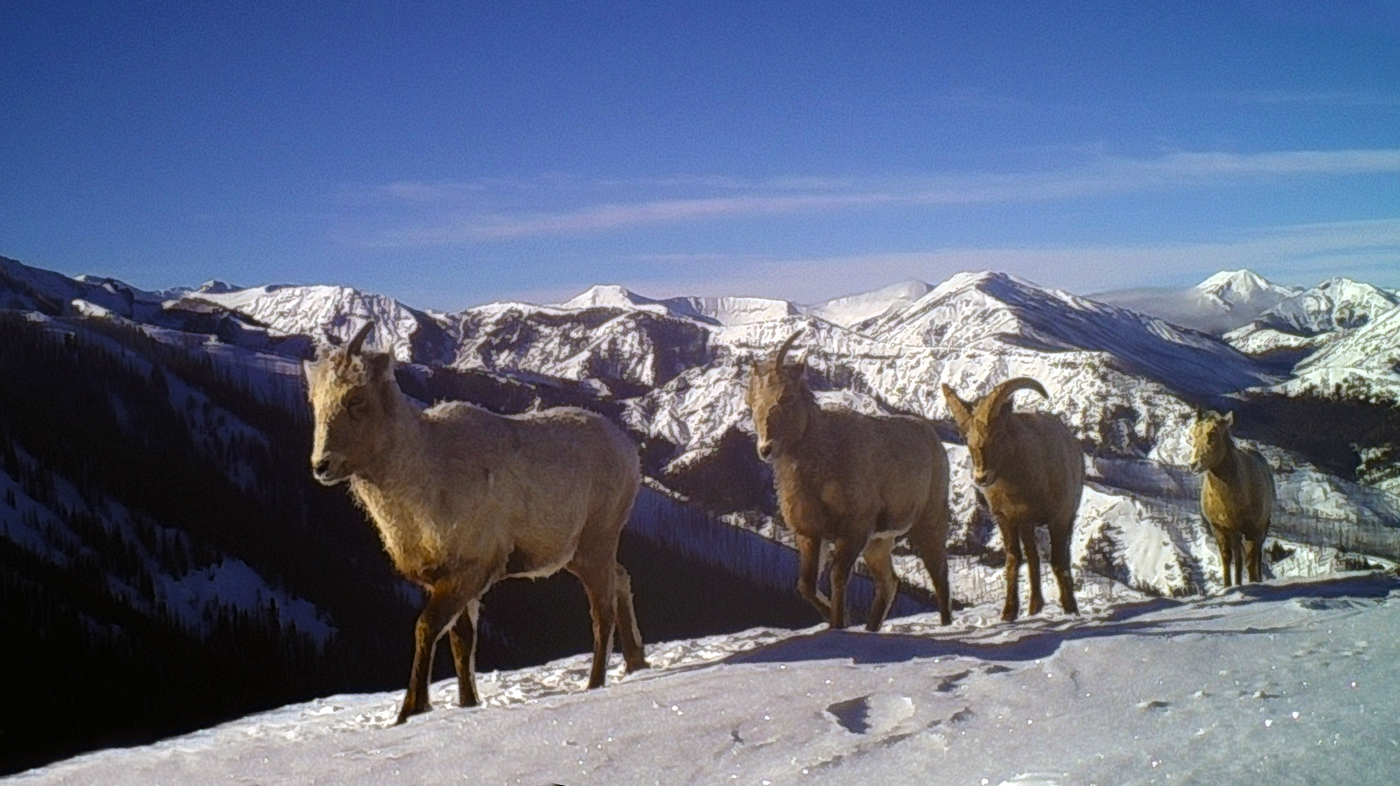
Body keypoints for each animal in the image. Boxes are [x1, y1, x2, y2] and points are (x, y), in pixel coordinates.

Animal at [304, 321, 647, 724]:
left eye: (357, 398)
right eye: (315, 401)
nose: (322, 465)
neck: (427, 483)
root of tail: (629, 451)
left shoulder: (471, 570)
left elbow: (426, 629)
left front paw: (411, 710)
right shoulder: (448, 579)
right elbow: (461, 641)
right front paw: (468, 703)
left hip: (597, 541)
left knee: (601, 610)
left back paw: (596, 683)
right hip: (577, 554)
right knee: (622, 579)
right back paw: (636, 662)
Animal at [746, 330, 953, 630]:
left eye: (786, 396)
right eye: (750, 402)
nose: (765, 449)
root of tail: (934, 441)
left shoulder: (854, 530)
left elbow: (838, 577)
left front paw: (840, 623)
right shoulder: (811, 535)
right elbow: (806, 585)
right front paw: (840, 622)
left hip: (928, 523)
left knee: (939, 574)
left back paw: (946, 625)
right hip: (879, 543)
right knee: (889, 582)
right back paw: (871, 628)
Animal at [942, 377, 1083, 622]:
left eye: (998, 434)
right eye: (966, 439)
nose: (981, 477)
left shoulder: (1059, 518)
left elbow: (1058, 561)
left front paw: (1070, 609)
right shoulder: (1007, 520)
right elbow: (1014, 559)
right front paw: (1008, 613)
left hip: (1065, 519)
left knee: (1060, 556)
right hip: (1027, 526)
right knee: (1033, 558)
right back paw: (1034, 608)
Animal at [1187, 410, 1274, 586]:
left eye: (1212, 435)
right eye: (1191, 436)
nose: (1193, 464)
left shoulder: (1251, 529)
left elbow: (1249, 561)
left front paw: (1251, 583)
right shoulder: (1221, 528)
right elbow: (1227, 559)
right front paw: (1228, 586)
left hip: (1262, 527)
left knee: (1256, 556)